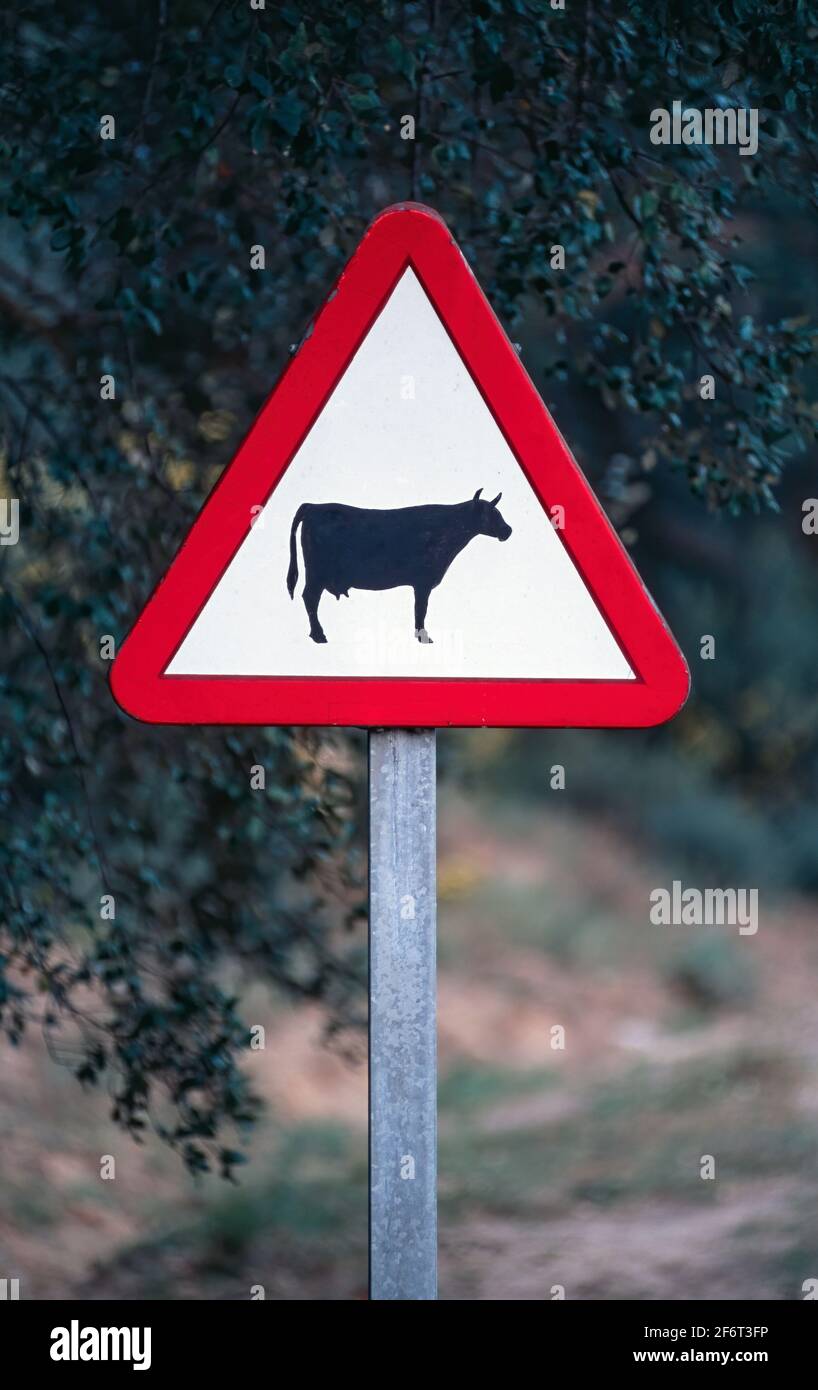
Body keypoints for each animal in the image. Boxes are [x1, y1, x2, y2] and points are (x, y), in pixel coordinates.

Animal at [286, 488, 512, 644]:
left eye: (499, 513)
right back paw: (319, 635)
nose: (508, 530)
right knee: (310, 598)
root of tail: (313, 506)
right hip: (316, 572)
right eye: (489, 515)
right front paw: (423, 637)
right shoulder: (423, 582)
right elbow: (421, 609)